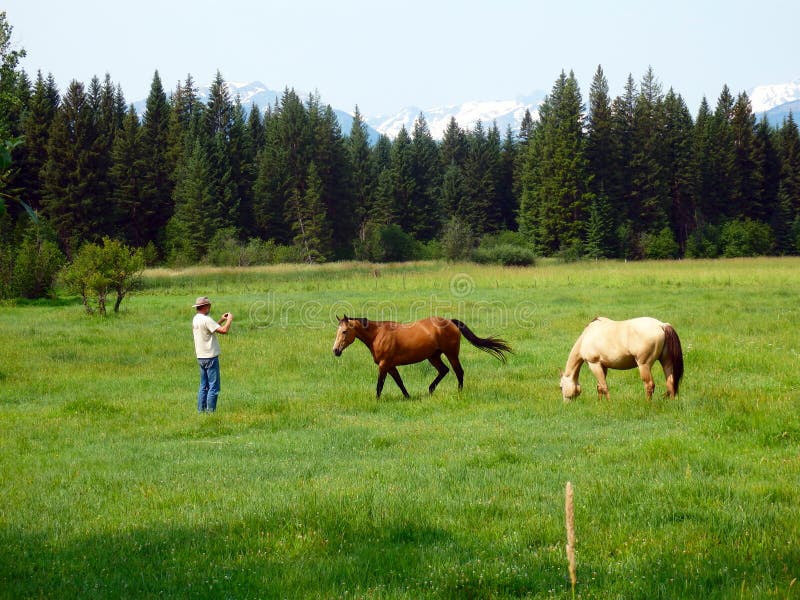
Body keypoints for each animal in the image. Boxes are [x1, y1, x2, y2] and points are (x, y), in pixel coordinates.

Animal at [332, 315, 512, 398]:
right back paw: (430, 390)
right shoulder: (391, 365)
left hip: (451, 353)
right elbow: (399, 382)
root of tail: (450, 321)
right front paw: (407, 397)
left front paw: (377, 400)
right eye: (337, 331)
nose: (335, 350)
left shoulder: (384, 365)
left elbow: (379, 385)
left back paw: (459, 392)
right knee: (444, 370)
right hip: (433, 356)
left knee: (458, 372)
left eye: (345, 331)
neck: (378, 335)